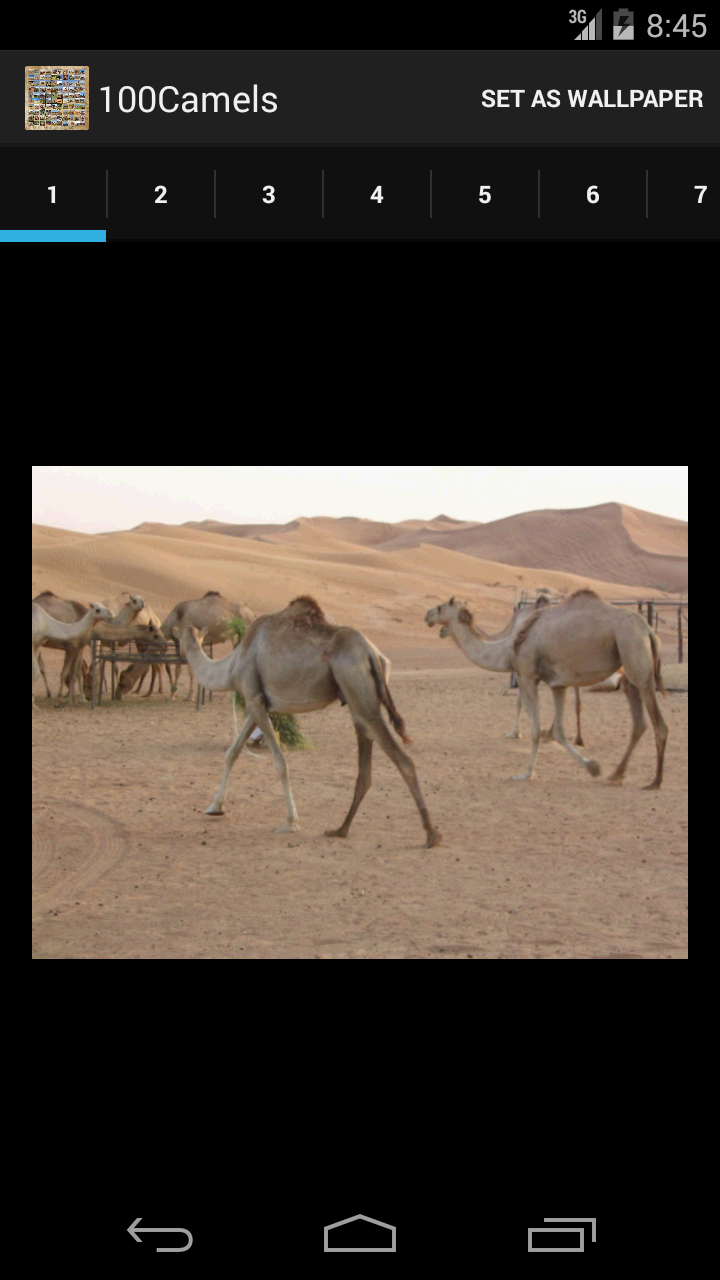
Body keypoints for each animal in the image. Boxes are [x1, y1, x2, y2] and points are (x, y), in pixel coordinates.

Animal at [179, 595, 441, 847]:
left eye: (179, 636)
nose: (178, 654)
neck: (232, 664)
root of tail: (370, 652)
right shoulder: (258, 704)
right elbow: (232, 752)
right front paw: (215, 807)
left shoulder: (253, 698)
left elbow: (280, 762)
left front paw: (290, 822)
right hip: (359, 698)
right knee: (365, 770)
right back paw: (340, 829)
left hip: (359, 693)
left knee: (403, 760)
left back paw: (431, 834)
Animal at [425, 591, 667, 788]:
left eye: (439, 606)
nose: (427, 615)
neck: (509, 648)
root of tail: (648, 631)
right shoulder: (558, 685)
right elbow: (558, 731)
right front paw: (593, 767)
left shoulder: (527, 675)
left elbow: (535, 730)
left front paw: (526, 773)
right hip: (629, 670)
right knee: (639, 723)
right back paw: (617, 774)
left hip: (635, 656)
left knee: (659, 724)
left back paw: (655, 781)